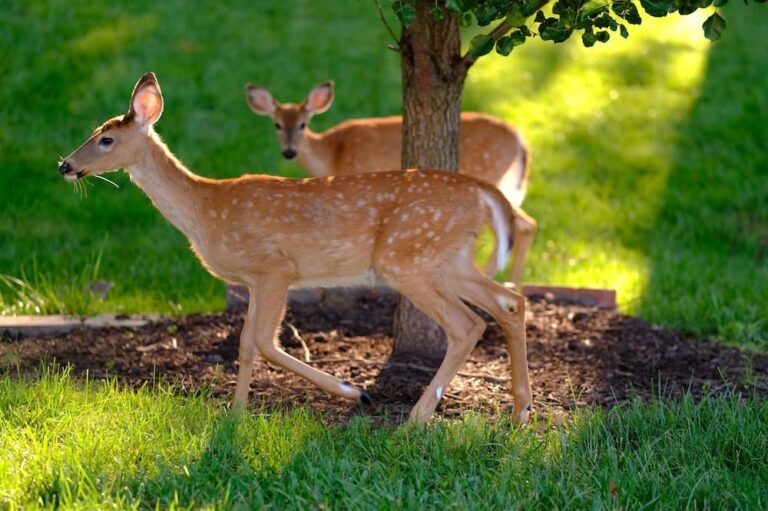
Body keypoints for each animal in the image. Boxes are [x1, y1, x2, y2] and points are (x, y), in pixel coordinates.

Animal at [245, 81, 537, 290]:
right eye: (277, 124)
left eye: (303, 124)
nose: (289, 152)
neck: (332, 155)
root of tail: (522, 142)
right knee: (525, 224)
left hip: (492, 175)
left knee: (519, 224)